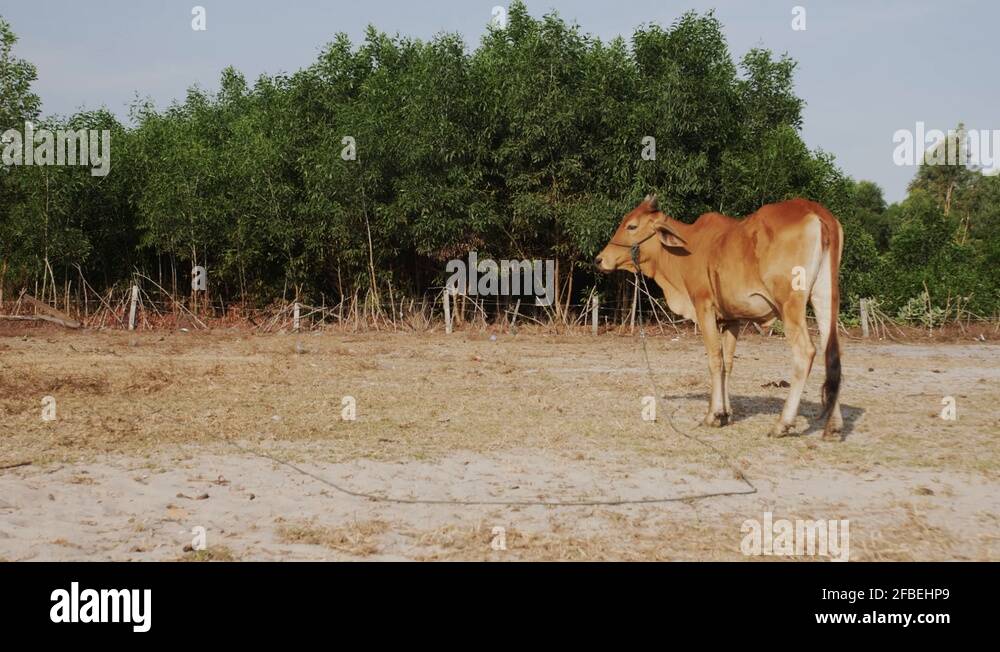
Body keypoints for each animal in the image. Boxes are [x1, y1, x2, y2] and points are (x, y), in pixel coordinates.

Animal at [595, 195, 843, 439]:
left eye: (632, 225)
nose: (599, 259)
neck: (688, 247)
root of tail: (817, 212)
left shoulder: (704, 307)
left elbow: (714, 359)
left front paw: (713, 415)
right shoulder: (732, 319)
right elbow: (728, 363)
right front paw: (726, 413)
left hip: (791, 304)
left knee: (805, 352)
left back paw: (782, 424)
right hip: (824, 297)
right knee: (831, 353)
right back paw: (833, 426)